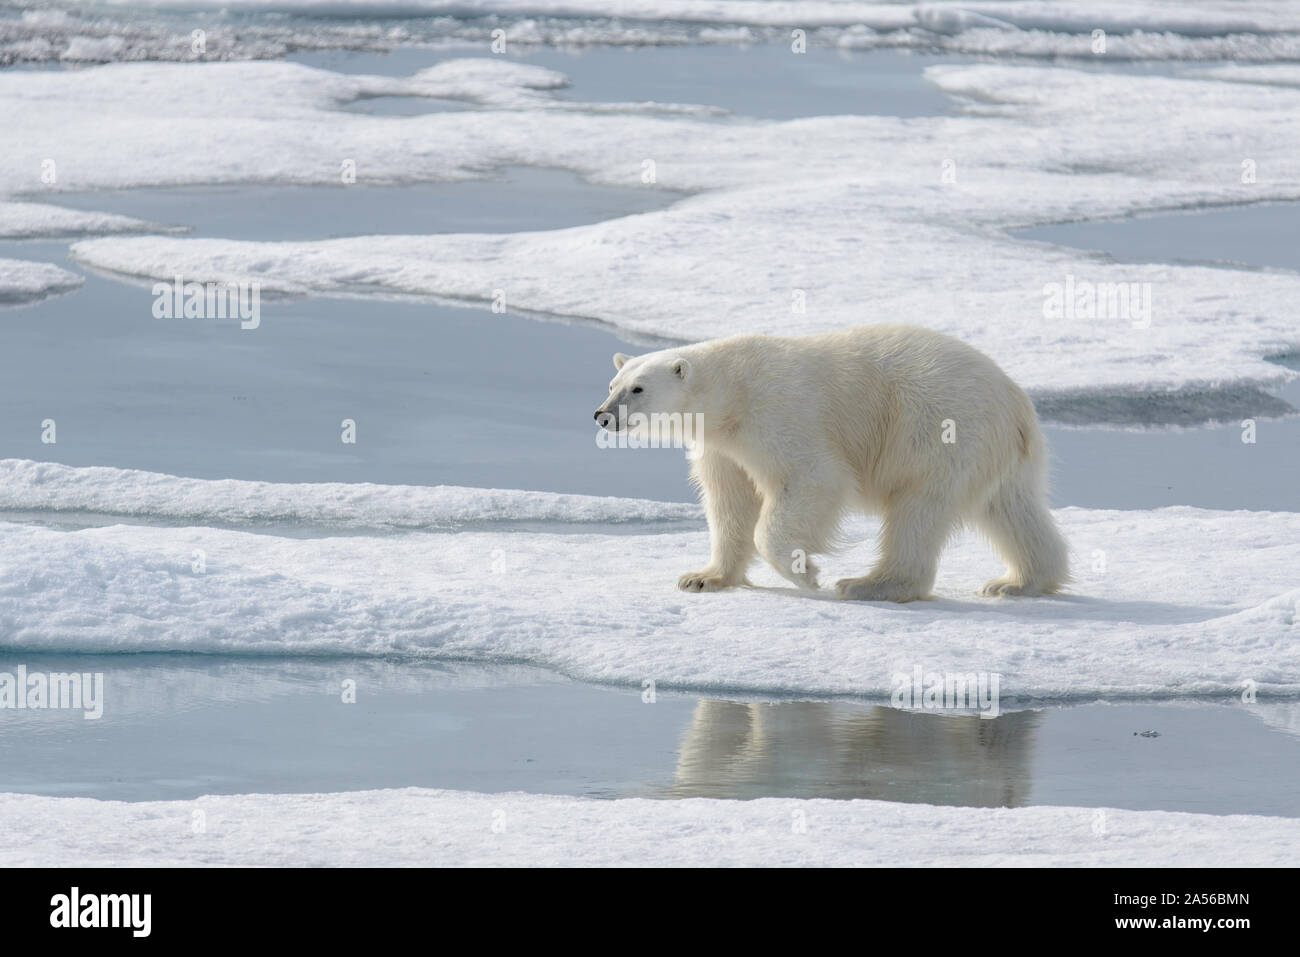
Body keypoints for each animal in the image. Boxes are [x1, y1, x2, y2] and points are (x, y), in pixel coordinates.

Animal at [593, 324, 1068, 602]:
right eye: (613, 383)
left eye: (637, 389)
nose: (602, 415)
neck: (731, 392)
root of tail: (1015, 403)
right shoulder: (721, 446)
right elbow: (729, 502)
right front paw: (703, 577)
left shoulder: (777, 413)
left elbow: (813, 478)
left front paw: (806, 573)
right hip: (997, 452)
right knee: (1012, 509)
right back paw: (1018, 582)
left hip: (938, 428)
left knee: (917, 508)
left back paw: (871, 584)